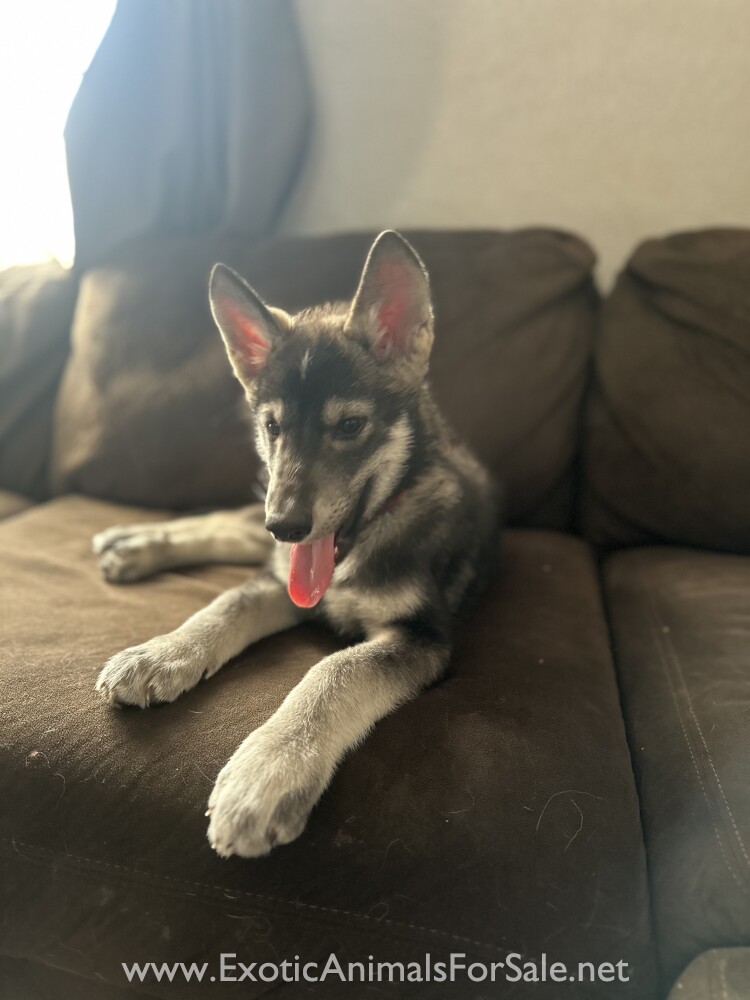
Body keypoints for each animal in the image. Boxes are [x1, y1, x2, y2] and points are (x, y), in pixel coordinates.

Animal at [93, 231, 498, 858]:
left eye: (351, 426)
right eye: (272, 427)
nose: (284, 525)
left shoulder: (422, 635)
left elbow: (335, 673)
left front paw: (266, 774)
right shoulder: (281, 576)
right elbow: (223, 606)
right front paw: (160, 653)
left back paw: (128, 547)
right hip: (259, 529)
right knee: (227, 523)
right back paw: (126, 543)